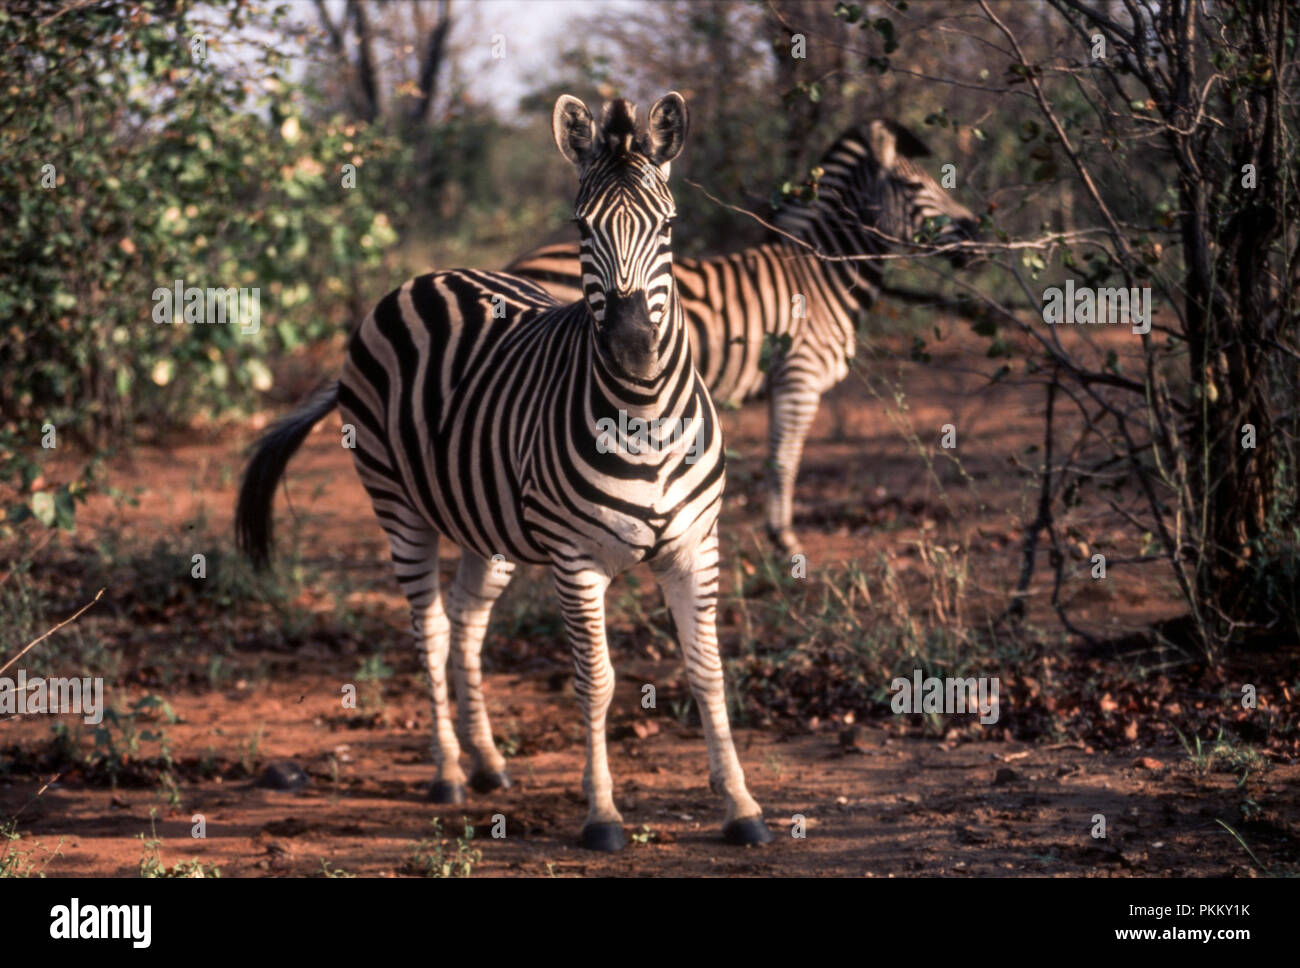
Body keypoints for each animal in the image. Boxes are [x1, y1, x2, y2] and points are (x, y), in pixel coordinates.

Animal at [235, 93, 773, 852]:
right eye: (581, 226)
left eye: (669, 225)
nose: (633, 348)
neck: (643, 418)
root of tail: (427, 276)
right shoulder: (576, 560)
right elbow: (596, 681)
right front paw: (602, 815)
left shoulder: (697, 545)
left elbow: (707, 671)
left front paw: (740, 806)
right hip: (398, 506)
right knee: (431, 628)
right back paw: (449, 773)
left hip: (486, 523)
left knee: (466, 620)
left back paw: (488, 763)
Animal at [507, 119, 978, 556]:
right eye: (913, 185)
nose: (975, 231)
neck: (821, 276)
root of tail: (518, 265)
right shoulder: (799, 378)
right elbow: (785, 459)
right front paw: (784, 540)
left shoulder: (781, 383)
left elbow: (775, 455)